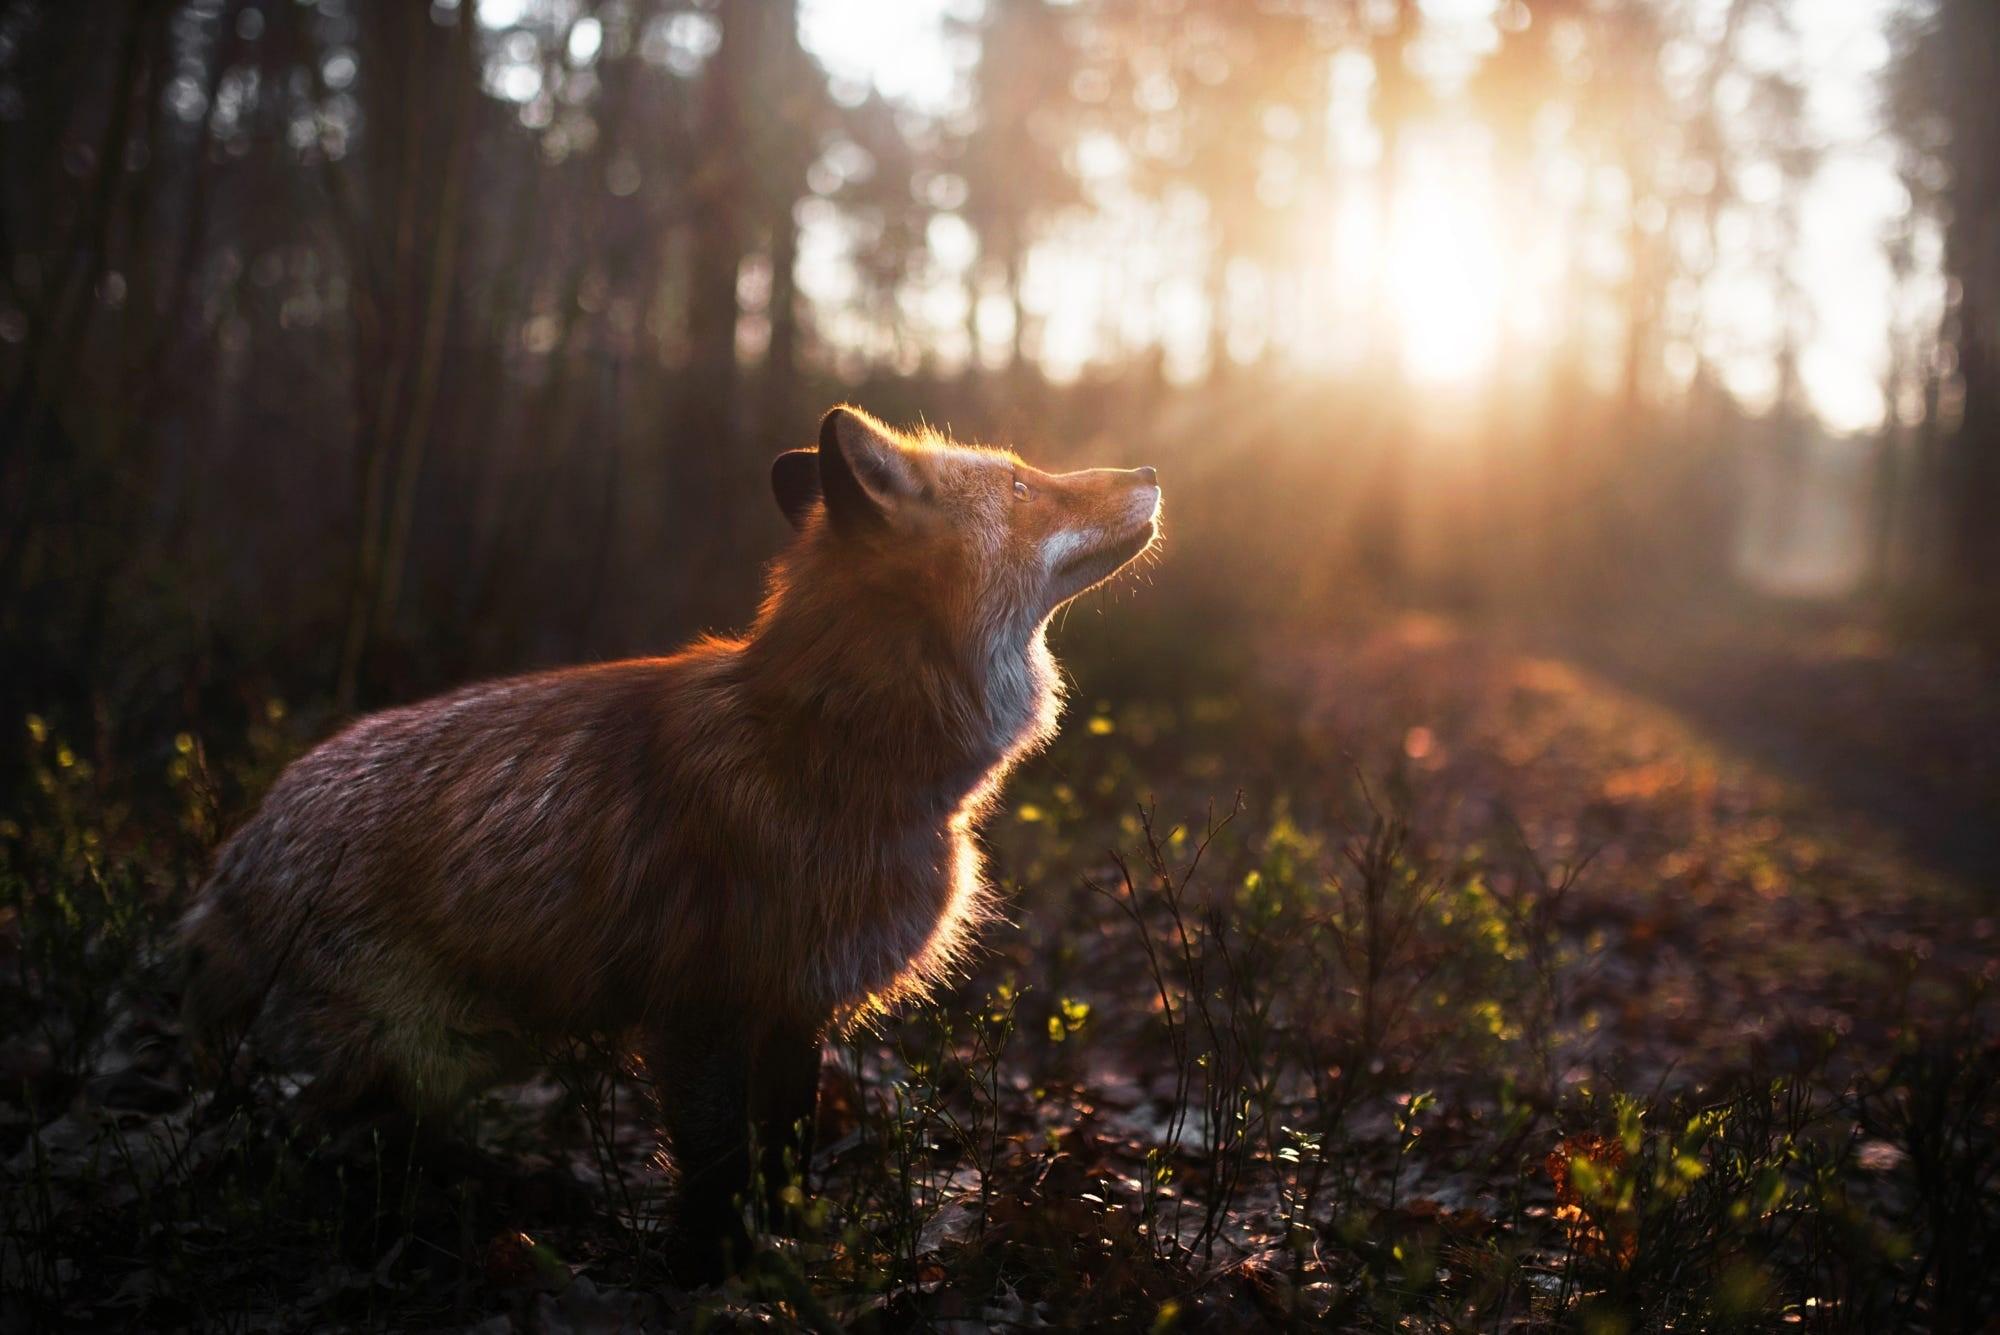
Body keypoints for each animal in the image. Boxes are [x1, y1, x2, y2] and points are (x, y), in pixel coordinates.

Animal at [179, 404, 1161, 1278]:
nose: (1151, 472)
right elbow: (719, 1166)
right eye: (1025, 486)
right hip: (418, 1053)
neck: (832, 750)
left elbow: (783, 1148)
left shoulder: (796, 1000)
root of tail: (231, 852)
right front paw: (718, 1272)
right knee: (296, 1134)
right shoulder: (700, 1004)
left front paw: (787, 1248)